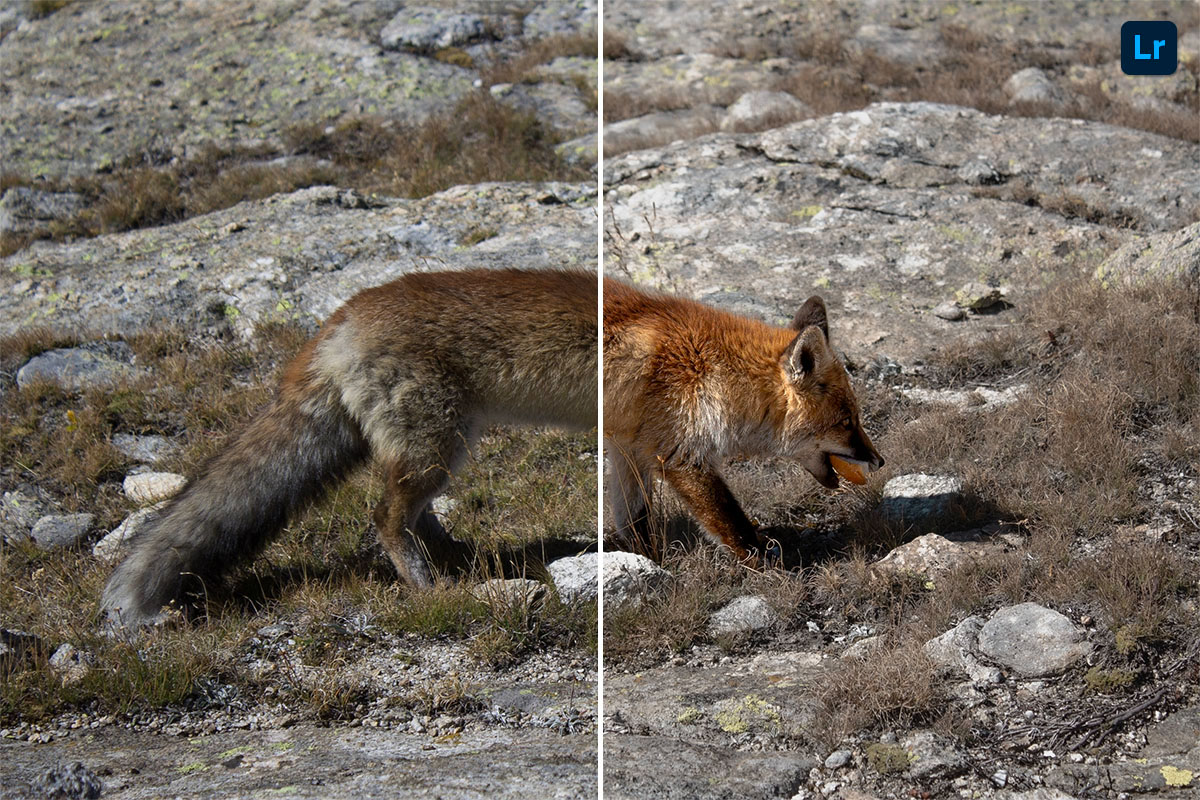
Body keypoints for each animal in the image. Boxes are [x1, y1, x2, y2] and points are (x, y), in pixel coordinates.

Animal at [102, 267, 597, 628]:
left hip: (442, 447)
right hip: (434, 444)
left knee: (416, 517)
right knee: (387, 518)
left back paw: (454, 558)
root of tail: (340, 317)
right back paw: (428, 588)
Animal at [603, 277, 883, 559]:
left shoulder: (629, 445)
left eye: (854, 418)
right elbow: (736, 526)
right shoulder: (680, 453)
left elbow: (634, 521)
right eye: (846, 422)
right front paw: (767, 567)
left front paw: (649, 558)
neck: (709, 374)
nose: (880, 461)